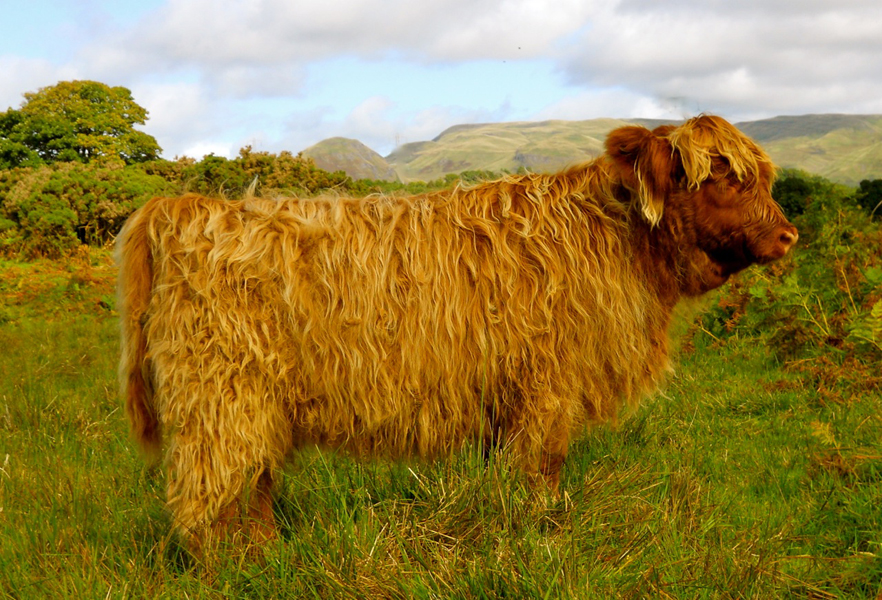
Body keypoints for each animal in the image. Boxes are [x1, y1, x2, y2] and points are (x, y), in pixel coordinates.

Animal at [117, 115, 797, 550]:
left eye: (761, 177)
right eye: (721, 177)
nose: (788, 235)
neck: (615, 239)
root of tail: (188, 208)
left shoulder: (509, 398)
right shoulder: (547, 390)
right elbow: (543, 472)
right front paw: (541, 536)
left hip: (257, 403)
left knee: (252, 484)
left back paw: (265, 555)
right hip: (220, 394)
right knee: (205, 496)